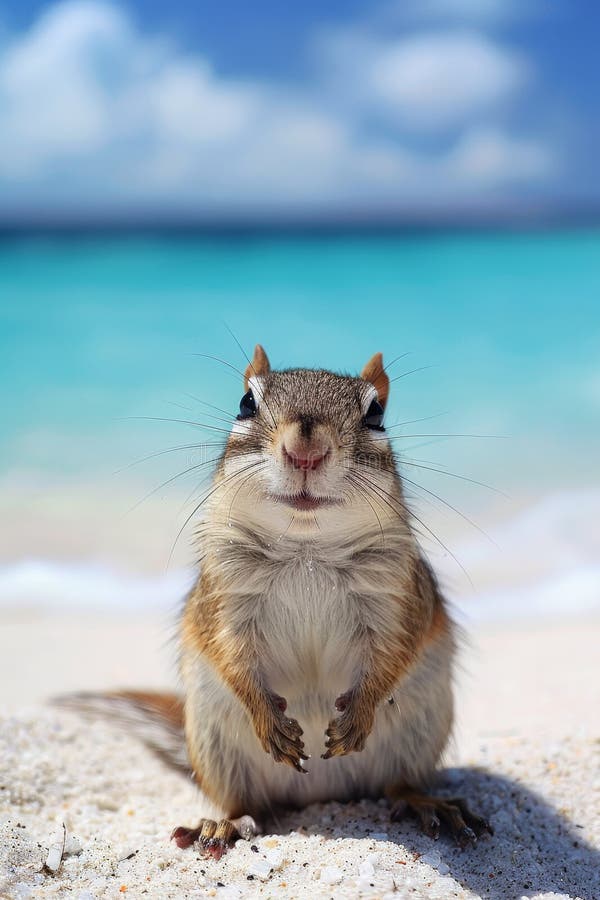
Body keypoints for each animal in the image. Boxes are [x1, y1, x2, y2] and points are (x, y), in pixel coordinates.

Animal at [61, 346, 492, 860]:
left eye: (376, 414)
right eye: (246, 403)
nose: (305, 450)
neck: (306, 549)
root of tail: (321, 797)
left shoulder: (397, 597)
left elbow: (393, 653)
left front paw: (359, 712)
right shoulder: (225, 599)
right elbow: (230, 656)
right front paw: (269, 719)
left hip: (417, 738)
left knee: (397, 786)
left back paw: (428, 804)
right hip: (218, 751)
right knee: (249, 806)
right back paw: (221, 825)